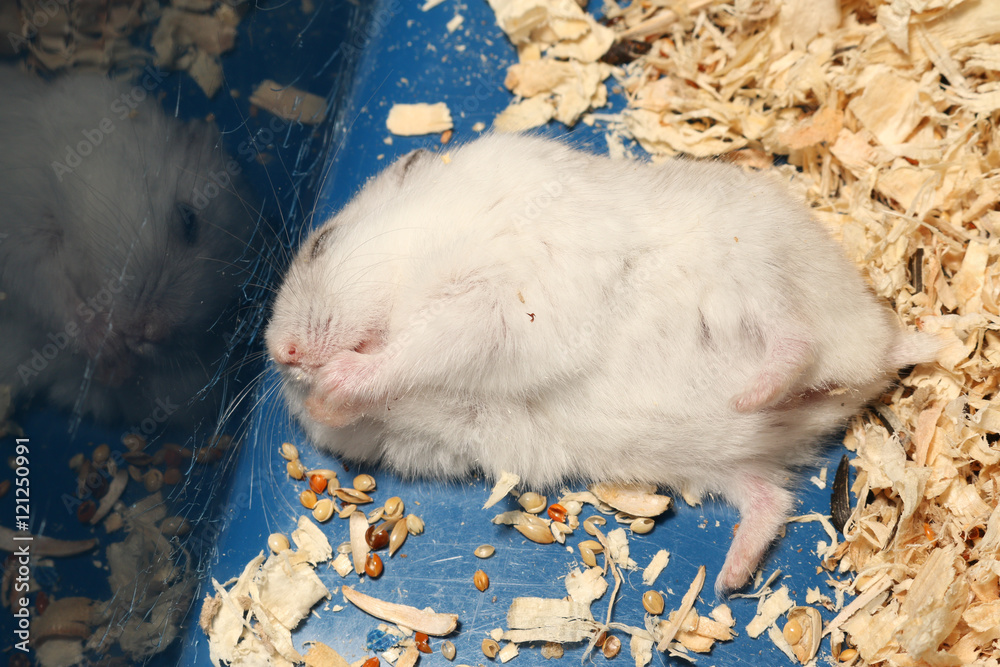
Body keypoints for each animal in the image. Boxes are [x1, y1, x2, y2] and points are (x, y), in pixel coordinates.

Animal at [0, 66, 257, 426]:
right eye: (188, 219)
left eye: (229, 307)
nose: (148, 335)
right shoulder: (23, 229)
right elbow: (49, 291)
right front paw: (106, 344)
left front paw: (118, 368)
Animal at [265, 133, 938, 595]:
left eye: (321, 243)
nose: (280, 354)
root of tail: (874, 349)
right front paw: (326, 404)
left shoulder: (493, 304)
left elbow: (412, 350)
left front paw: (331, 387)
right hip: (728, 463)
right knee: (770, 500)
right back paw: (730, 578)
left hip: (754, 272)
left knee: (794, 340)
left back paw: (755, 392)